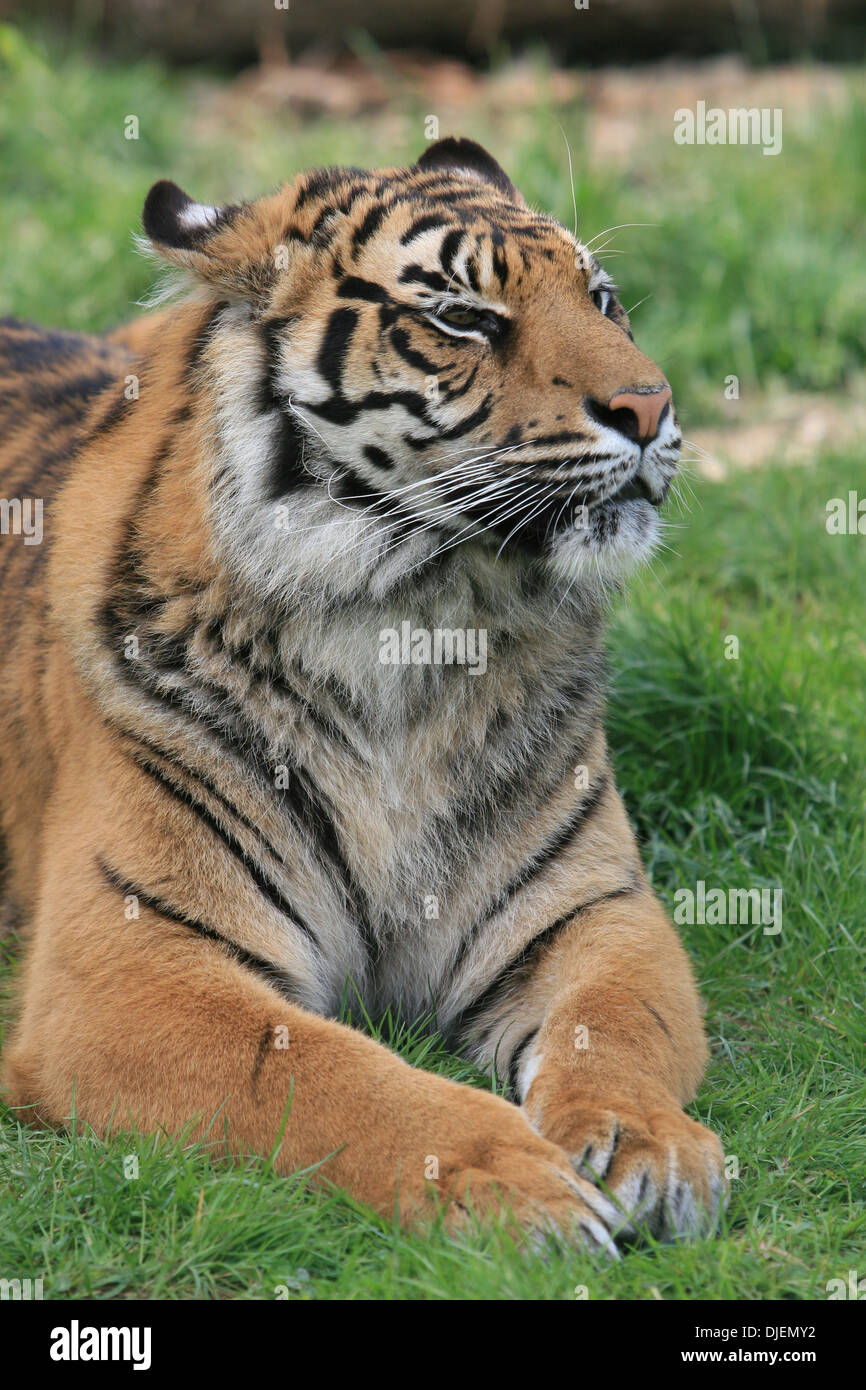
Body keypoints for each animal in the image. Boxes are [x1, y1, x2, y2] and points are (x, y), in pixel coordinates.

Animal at [0, 137, 726, 1251]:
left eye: (602, 299)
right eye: (463, 317)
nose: (651, 407)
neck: (413, 626)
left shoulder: (595, 909)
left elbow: (612, 1027)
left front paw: (651, 1143)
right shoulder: (126, 968)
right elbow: (318, 1070)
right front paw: (510, 1180)